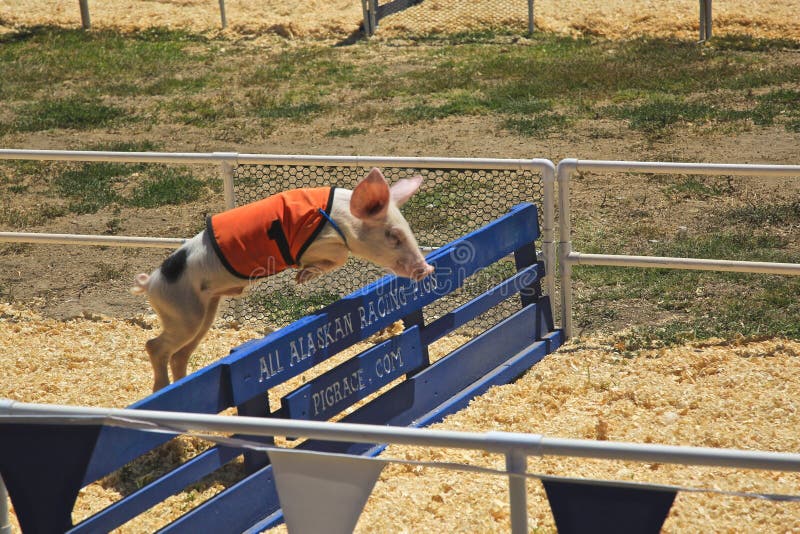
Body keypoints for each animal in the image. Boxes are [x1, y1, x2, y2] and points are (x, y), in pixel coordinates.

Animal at [131, 167, 434, 392]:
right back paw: (161, 388)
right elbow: (339, 258)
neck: (339, 218)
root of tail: (150, 284)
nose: (428, 269)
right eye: (393, 236)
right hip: (183, 312)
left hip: (204, 311)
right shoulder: (316, 243)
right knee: (154, 346)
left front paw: (302, 277)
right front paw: (302, 277)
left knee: (179, 355)